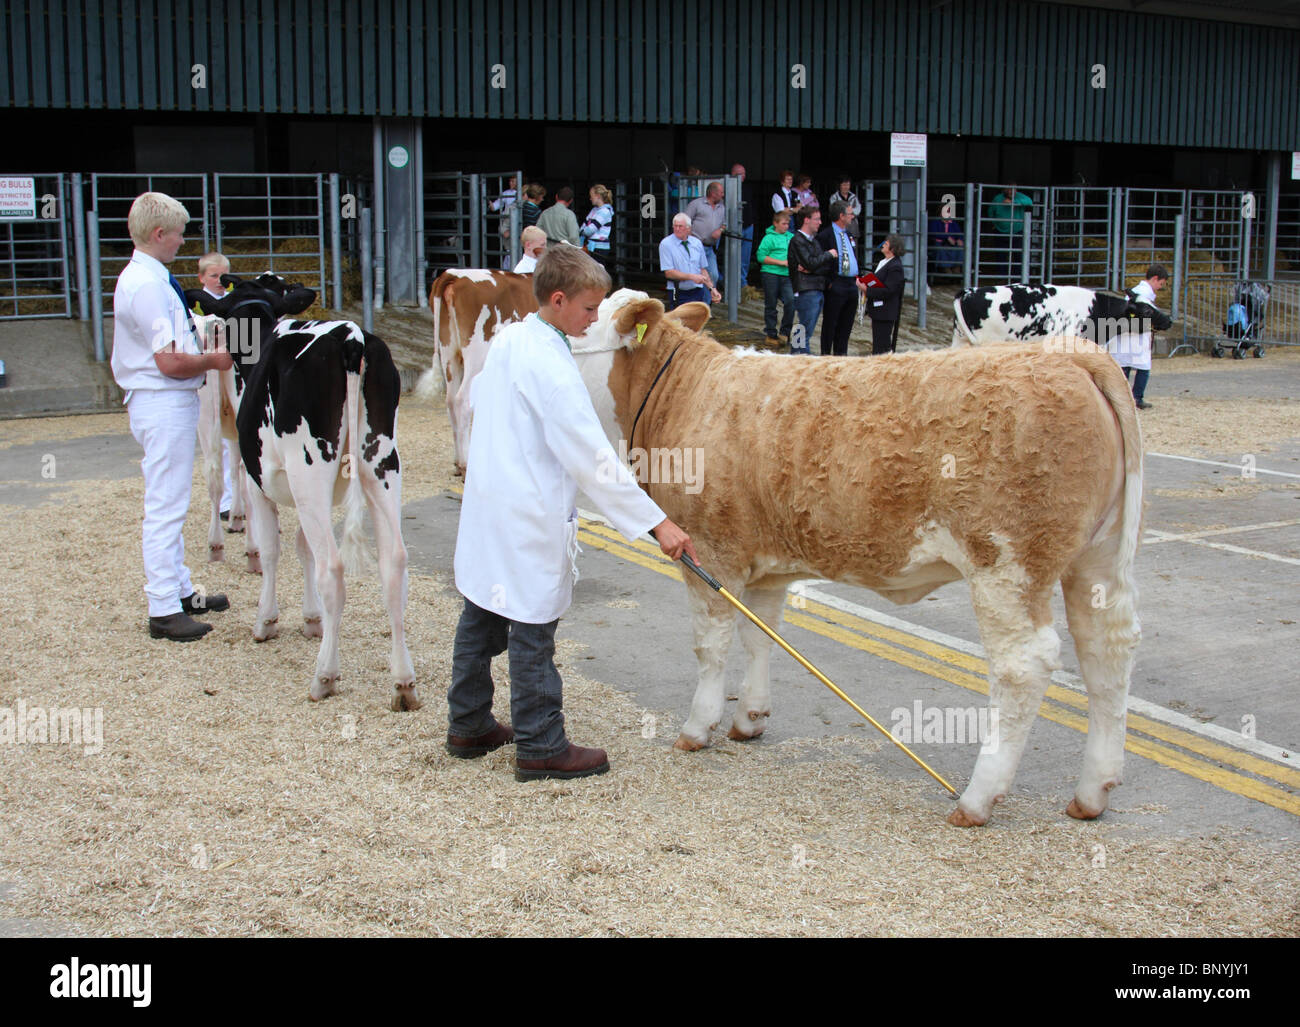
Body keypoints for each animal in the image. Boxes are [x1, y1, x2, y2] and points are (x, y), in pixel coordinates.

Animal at [189, 273, 421, 713]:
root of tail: (351, 337)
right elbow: (302, 548)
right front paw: (311, 619)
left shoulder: (263, 480)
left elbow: (273, 549)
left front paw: (267, 619)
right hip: (382, 463)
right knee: (394, 562)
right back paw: (403, 683)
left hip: (308, 468)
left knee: (333, 567)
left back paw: (324, 676)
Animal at [416, 269, 538, 473]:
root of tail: (454, 275)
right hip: (477, 355)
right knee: (462, 400)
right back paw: (466, 464)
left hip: (449, 353)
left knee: (450, 400)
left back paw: (458, 461)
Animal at [572, 290, 1143, 827]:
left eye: (577, 333)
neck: (685, 396)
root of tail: (1069, 356)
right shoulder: (763, 564)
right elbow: (761, 635)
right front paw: (750, 718)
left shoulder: (711, 551)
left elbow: (710, 646)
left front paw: (697, 728)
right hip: (1096, 563)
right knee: (1106, 650)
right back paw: (1093, 792)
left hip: (1006, 564)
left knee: (1023, 666)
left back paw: (978, 798)